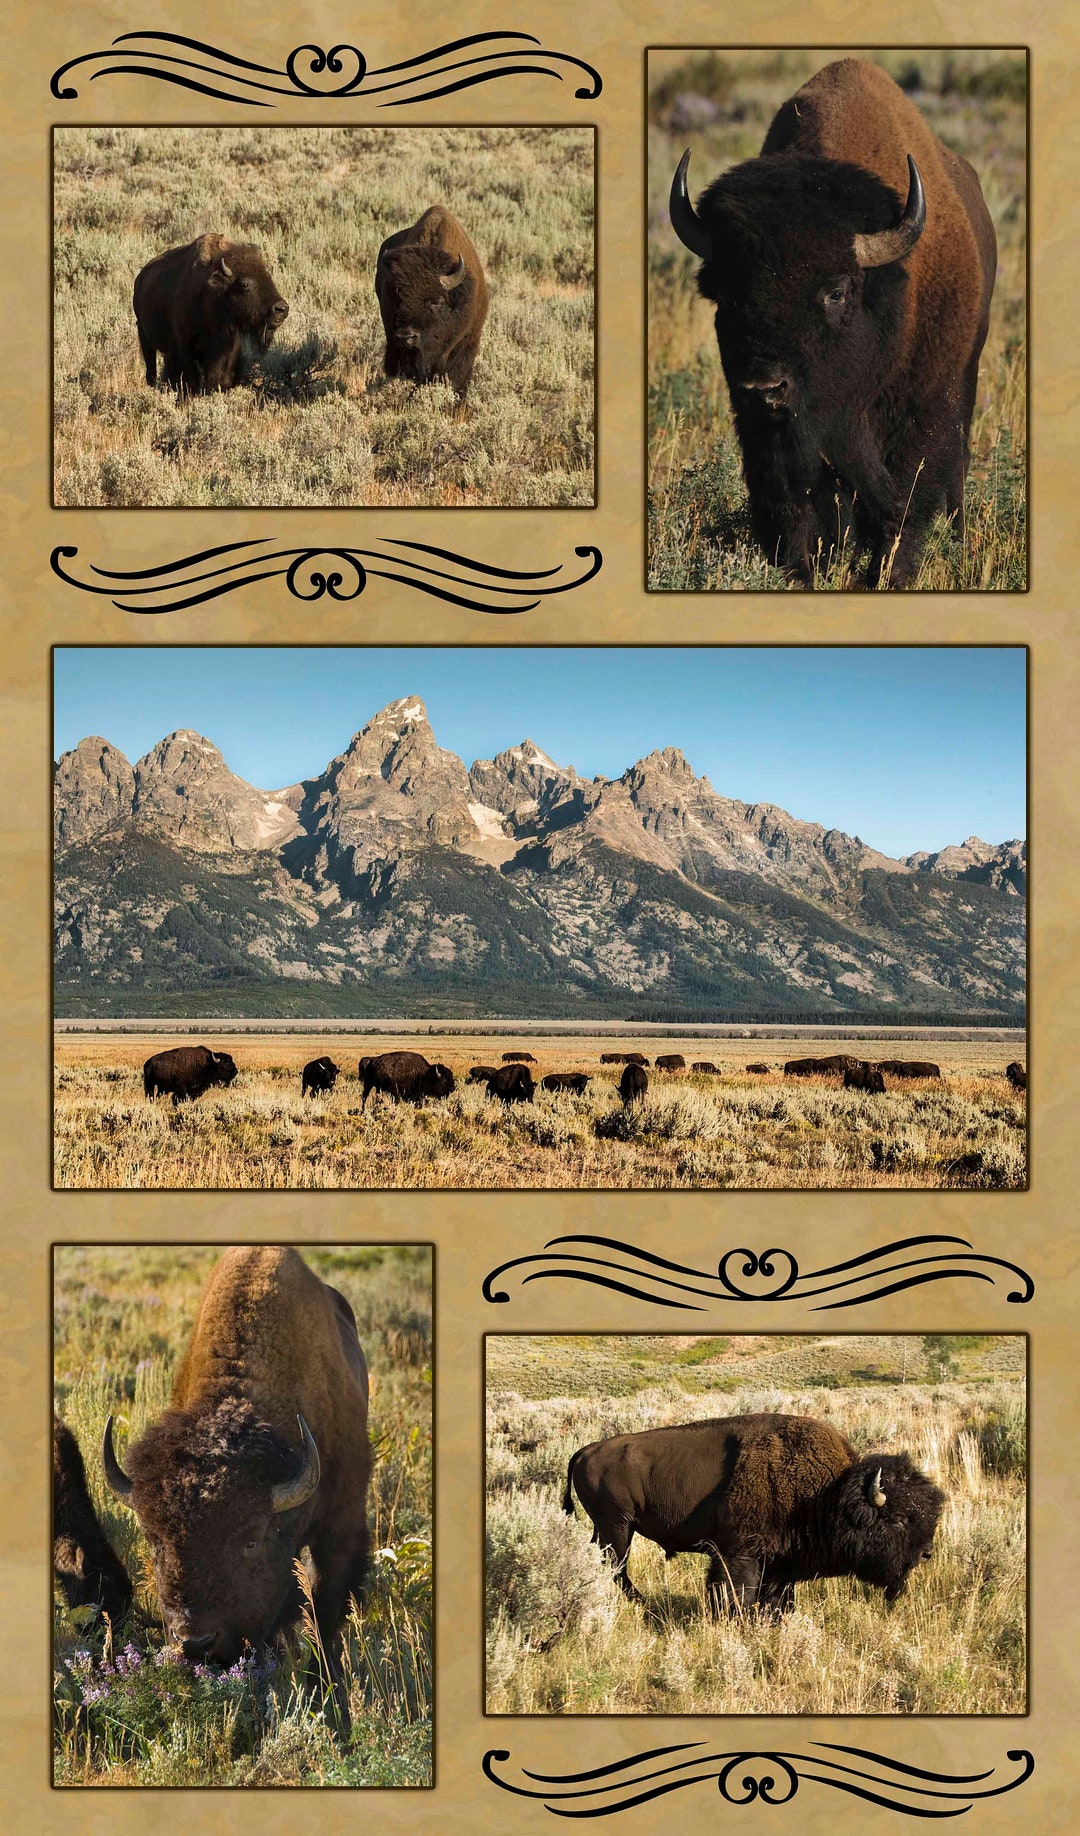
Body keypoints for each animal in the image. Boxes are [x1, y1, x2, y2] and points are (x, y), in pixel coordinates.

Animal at [102, 1247, 370, 1734]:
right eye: (154, 1541)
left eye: (251, 1540)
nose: (196, 1642)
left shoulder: (340, 1526)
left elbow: (325, 1609)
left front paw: (325, 1693)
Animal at [134, 234, 289, 394]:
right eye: (245, 284)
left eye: (268, 277)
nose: (281, 309)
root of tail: (140, 277)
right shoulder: (184, 348)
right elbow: (189, 380)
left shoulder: (226, 349)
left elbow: (220, 378)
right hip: (144, 336)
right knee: (151, 371)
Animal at [563, 1412, 944, 1614]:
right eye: (897, 1518)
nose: (927, 1553)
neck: (828, 1493)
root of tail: (585, 1450)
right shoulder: (740, 1555)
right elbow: (737, 1594)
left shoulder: (780, 1562)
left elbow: (779, 1598)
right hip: (618, 1527)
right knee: (618, 1567)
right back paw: (644, 1606)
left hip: (606, 1528)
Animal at [670, 59, 997, 588]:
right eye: (725, 295)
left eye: (836, 292)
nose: (764, 388)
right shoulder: (769, 435)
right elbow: (793, 503)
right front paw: (800, 572)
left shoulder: (924, 410)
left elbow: (908, 499)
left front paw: (886, 576)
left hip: (966, 380)